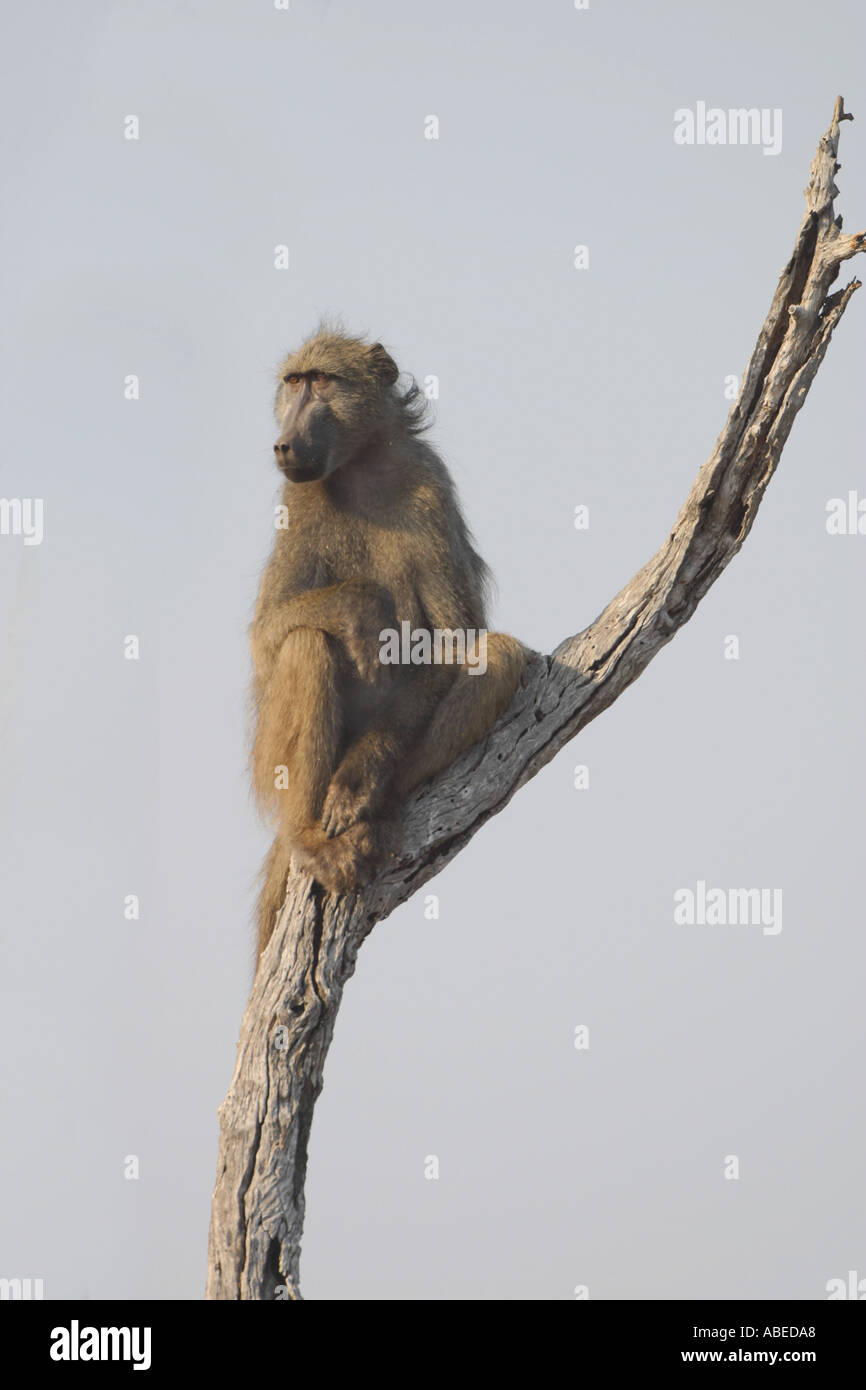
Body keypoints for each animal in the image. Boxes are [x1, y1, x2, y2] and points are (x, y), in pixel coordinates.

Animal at [250, 326, 527, 959]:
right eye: (293, 383)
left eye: (322, 381)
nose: (284, 445)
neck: (359, 466)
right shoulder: (295, 503)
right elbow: (267, 634)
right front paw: (361, 608)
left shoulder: (429, 488)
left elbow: (456, 644)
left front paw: (359, 781)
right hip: (268, 757)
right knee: (307, 643)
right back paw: (307, 838)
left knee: (498, 657)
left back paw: (379, 807)